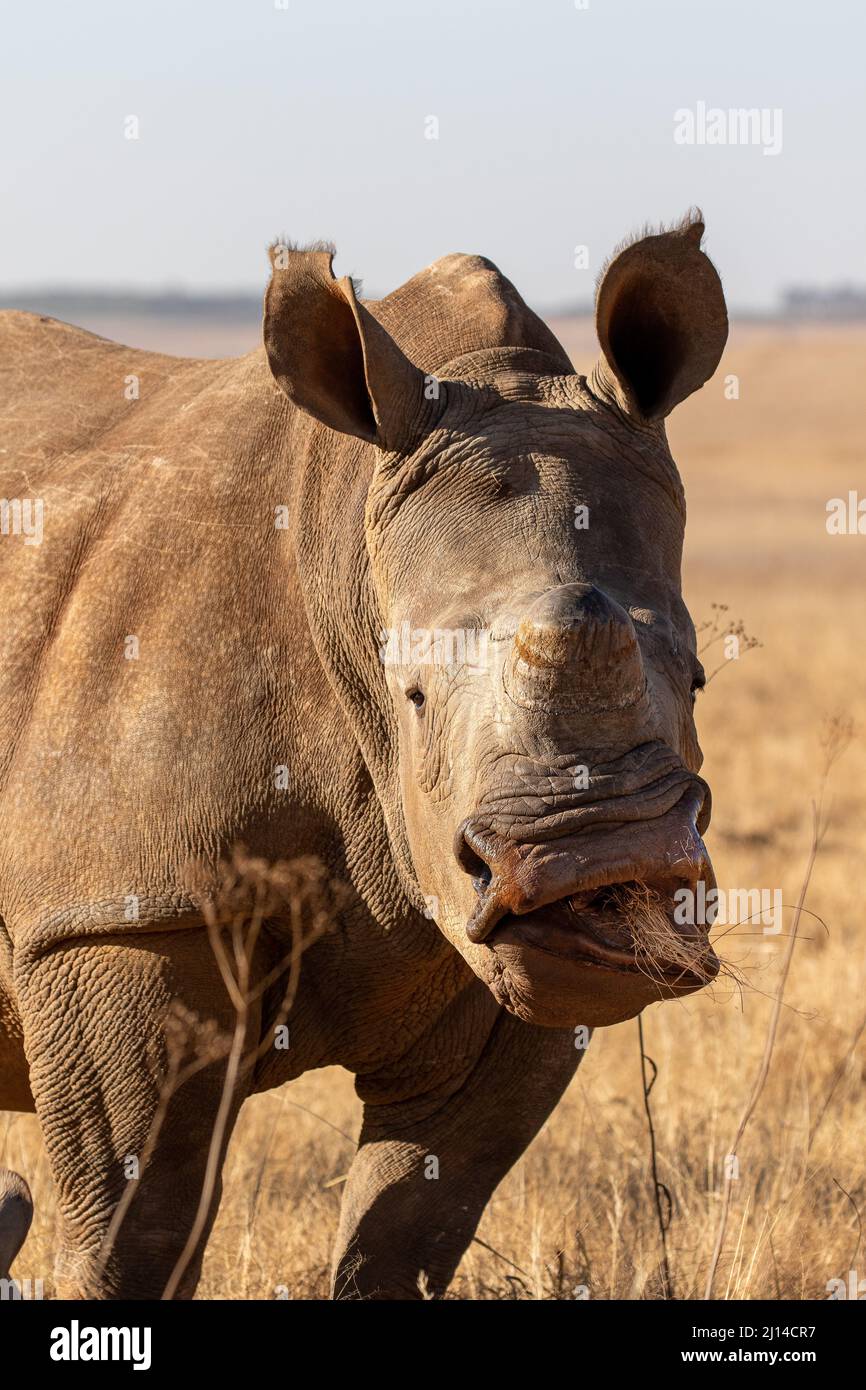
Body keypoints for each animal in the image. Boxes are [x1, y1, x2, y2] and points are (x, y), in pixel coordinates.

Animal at [0, 212, 727, 1300]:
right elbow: (135, 1230)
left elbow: (413, 1224)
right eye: (412, 696)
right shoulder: (123, 912)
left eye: (696, 681)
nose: (598, 866)